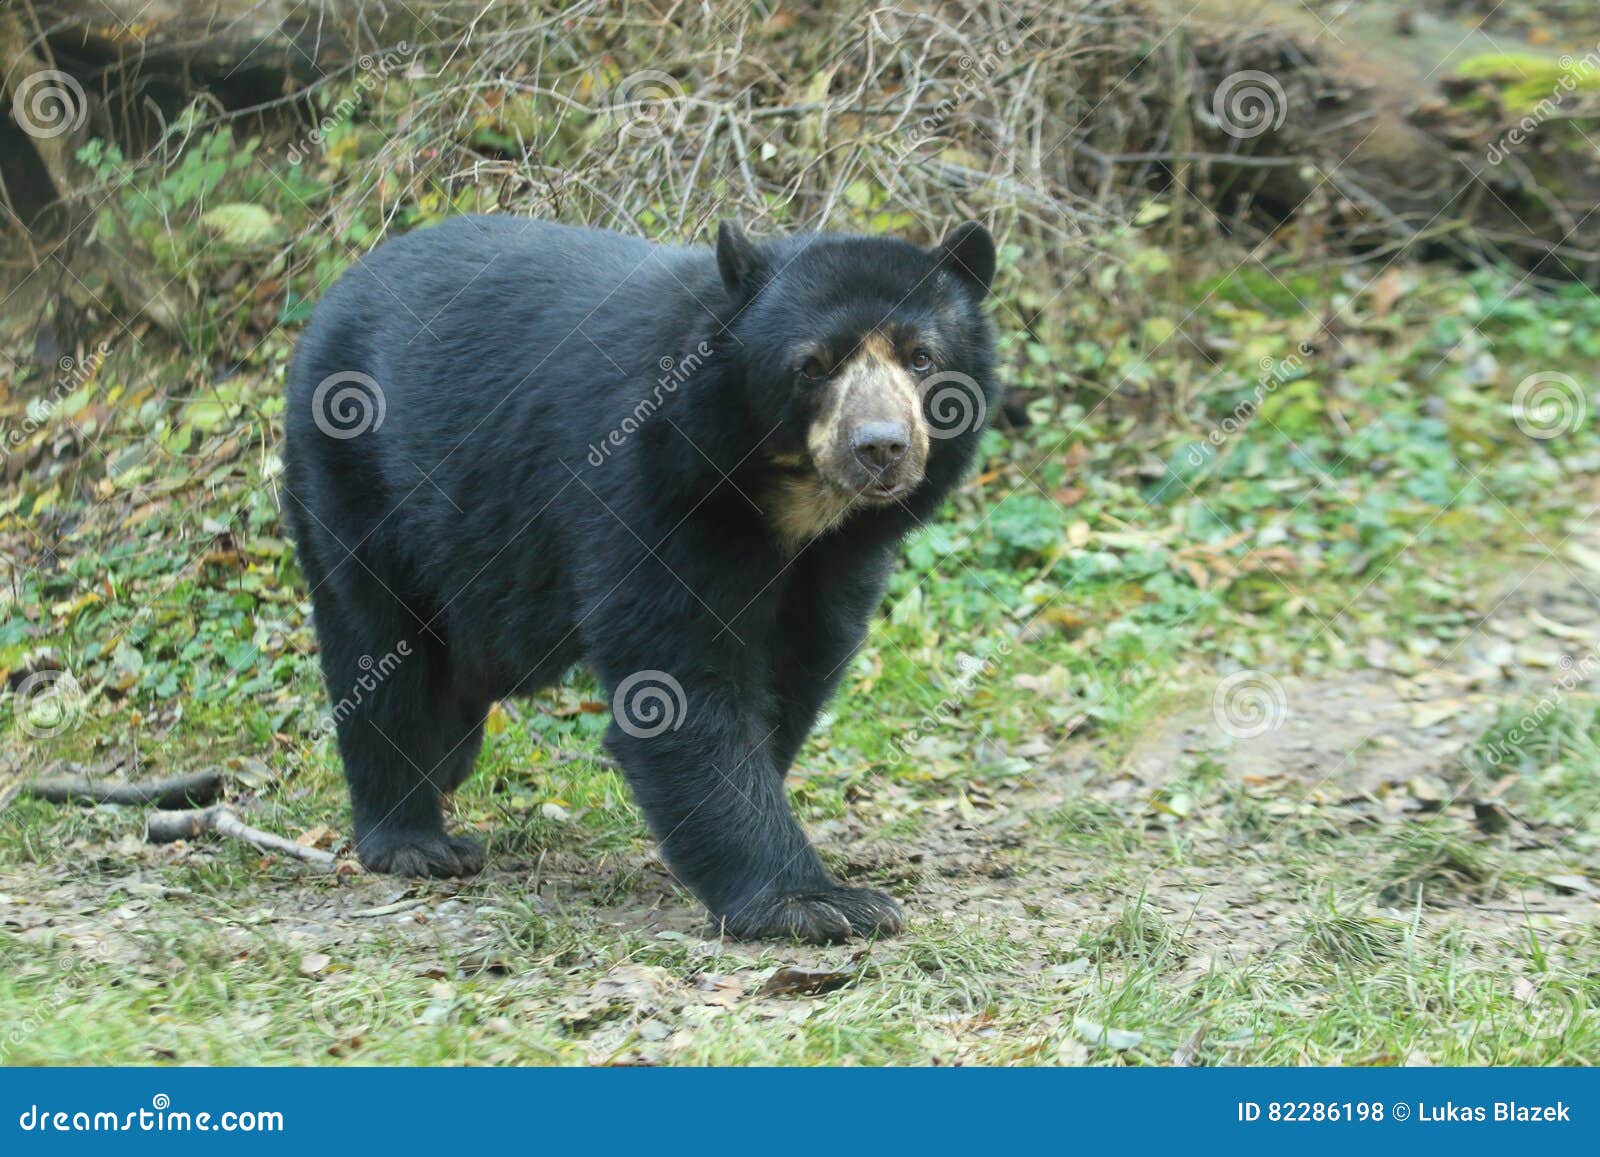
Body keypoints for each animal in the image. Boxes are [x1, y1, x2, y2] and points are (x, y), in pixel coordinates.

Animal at [282, 213, 998, 942]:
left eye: (922, 357)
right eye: (813, 366)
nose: (881, 447)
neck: (788, 500)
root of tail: (337, 292)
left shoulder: (833, 560)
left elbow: (797, 670)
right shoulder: (655, 488)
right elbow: (678, 683)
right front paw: (817, 902)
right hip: (357, 472)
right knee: (378, 642)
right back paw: (413, 840)